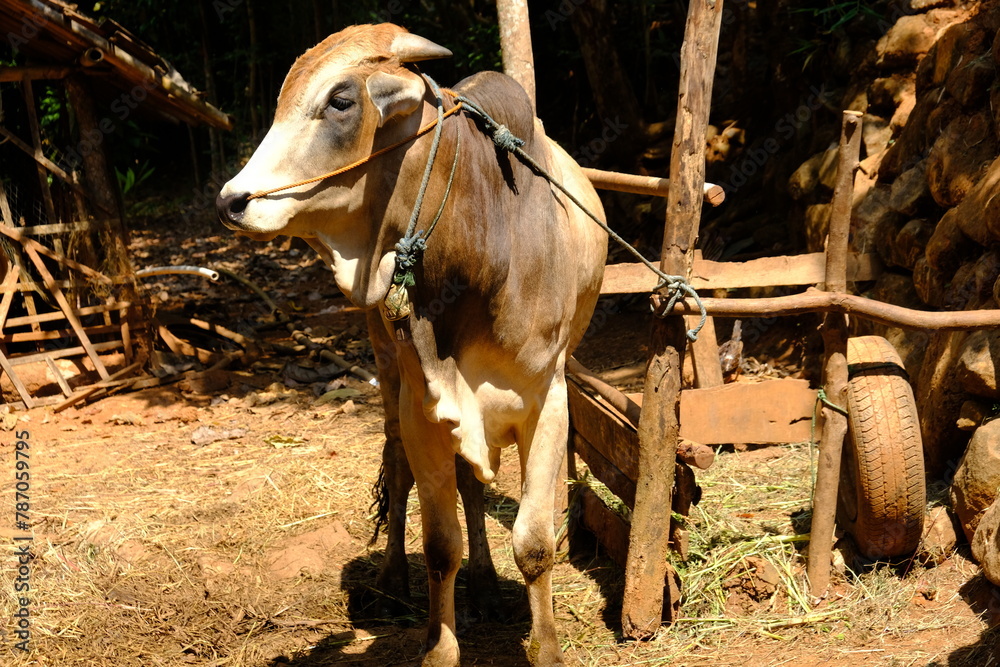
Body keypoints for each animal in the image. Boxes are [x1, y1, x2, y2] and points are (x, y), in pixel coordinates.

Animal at [217, 23, 607, 666]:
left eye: (341, 101)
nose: (232, 201)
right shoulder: (423, 404)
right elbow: (440, 543)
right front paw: (437, 646)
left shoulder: (546, 398)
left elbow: (533, 543)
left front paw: (545, 647)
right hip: (391, 374)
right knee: (399, 471)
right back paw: (395, 583)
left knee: (473, 485)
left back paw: (485, 589)